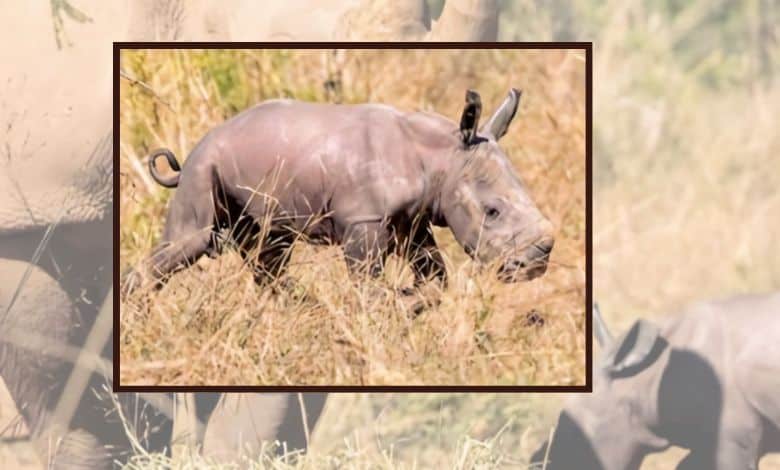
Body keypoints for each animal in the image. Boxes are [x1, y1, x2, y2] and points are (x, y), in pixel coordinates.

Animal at [122, 89, 555, 296]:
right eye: (492, 212)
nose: (536, 264)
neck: (441, 155)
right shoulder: (364, 219)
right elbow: (368, 286)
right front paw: (391, 302)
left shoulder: (411, 221)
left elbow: (435, 276)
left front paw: (409, 296)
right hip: (203, 166)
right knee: (191, 239)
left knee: (269, 254)